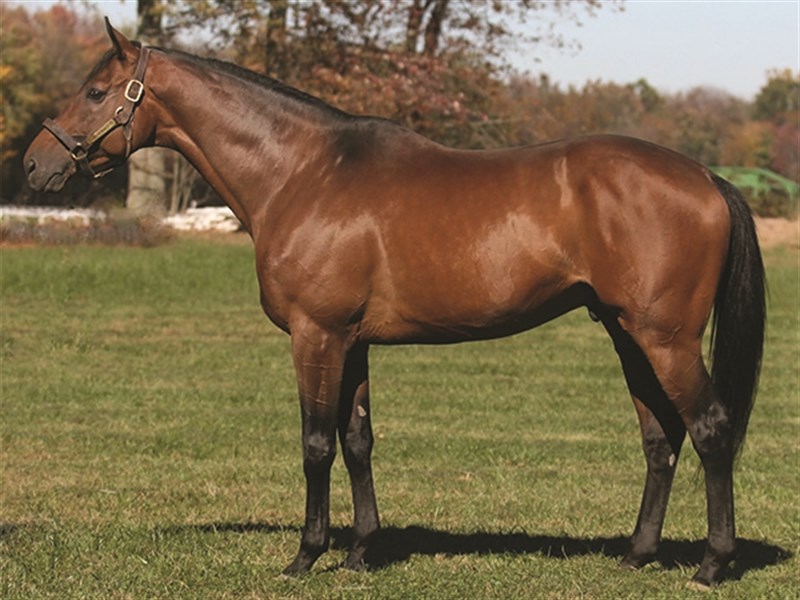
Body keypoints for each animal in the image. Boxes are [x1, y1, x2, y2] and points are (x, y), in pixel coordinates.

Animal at [24, 20, 765, 588]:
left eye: (96, 91)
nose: (34, 164)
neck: (304, 172)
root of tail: (706, 177)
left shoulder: (315, 336)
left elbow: (316, 444)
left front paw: (305, 557)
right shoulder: (351, 342)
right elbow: (358, 442)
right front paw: (359, 554)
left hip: (664, 338)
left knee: (709, 429)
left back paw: (711, 565)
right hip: (625, 332)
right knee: (660, 437)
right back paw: (637, 556)